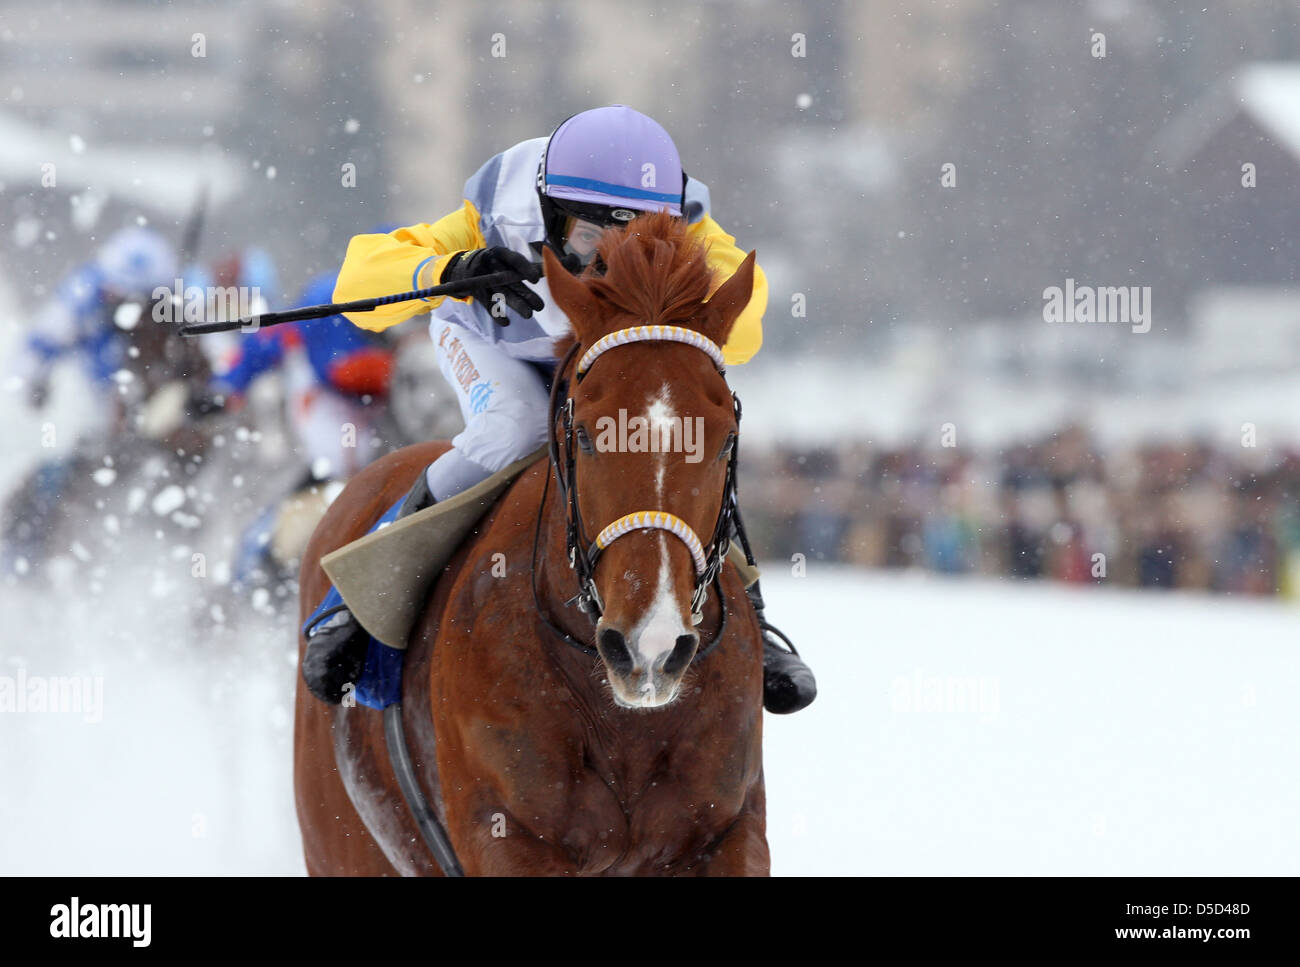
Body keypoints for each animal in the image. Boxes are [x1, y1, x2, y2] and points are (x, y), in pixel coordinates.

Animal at [293, 212, 770, 875]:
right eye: (585, 432)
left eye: (725, 437)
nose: (649, 646)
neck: (622, 721)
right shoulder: (506, 835)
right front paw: (477, 267)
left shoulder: (730, 829)